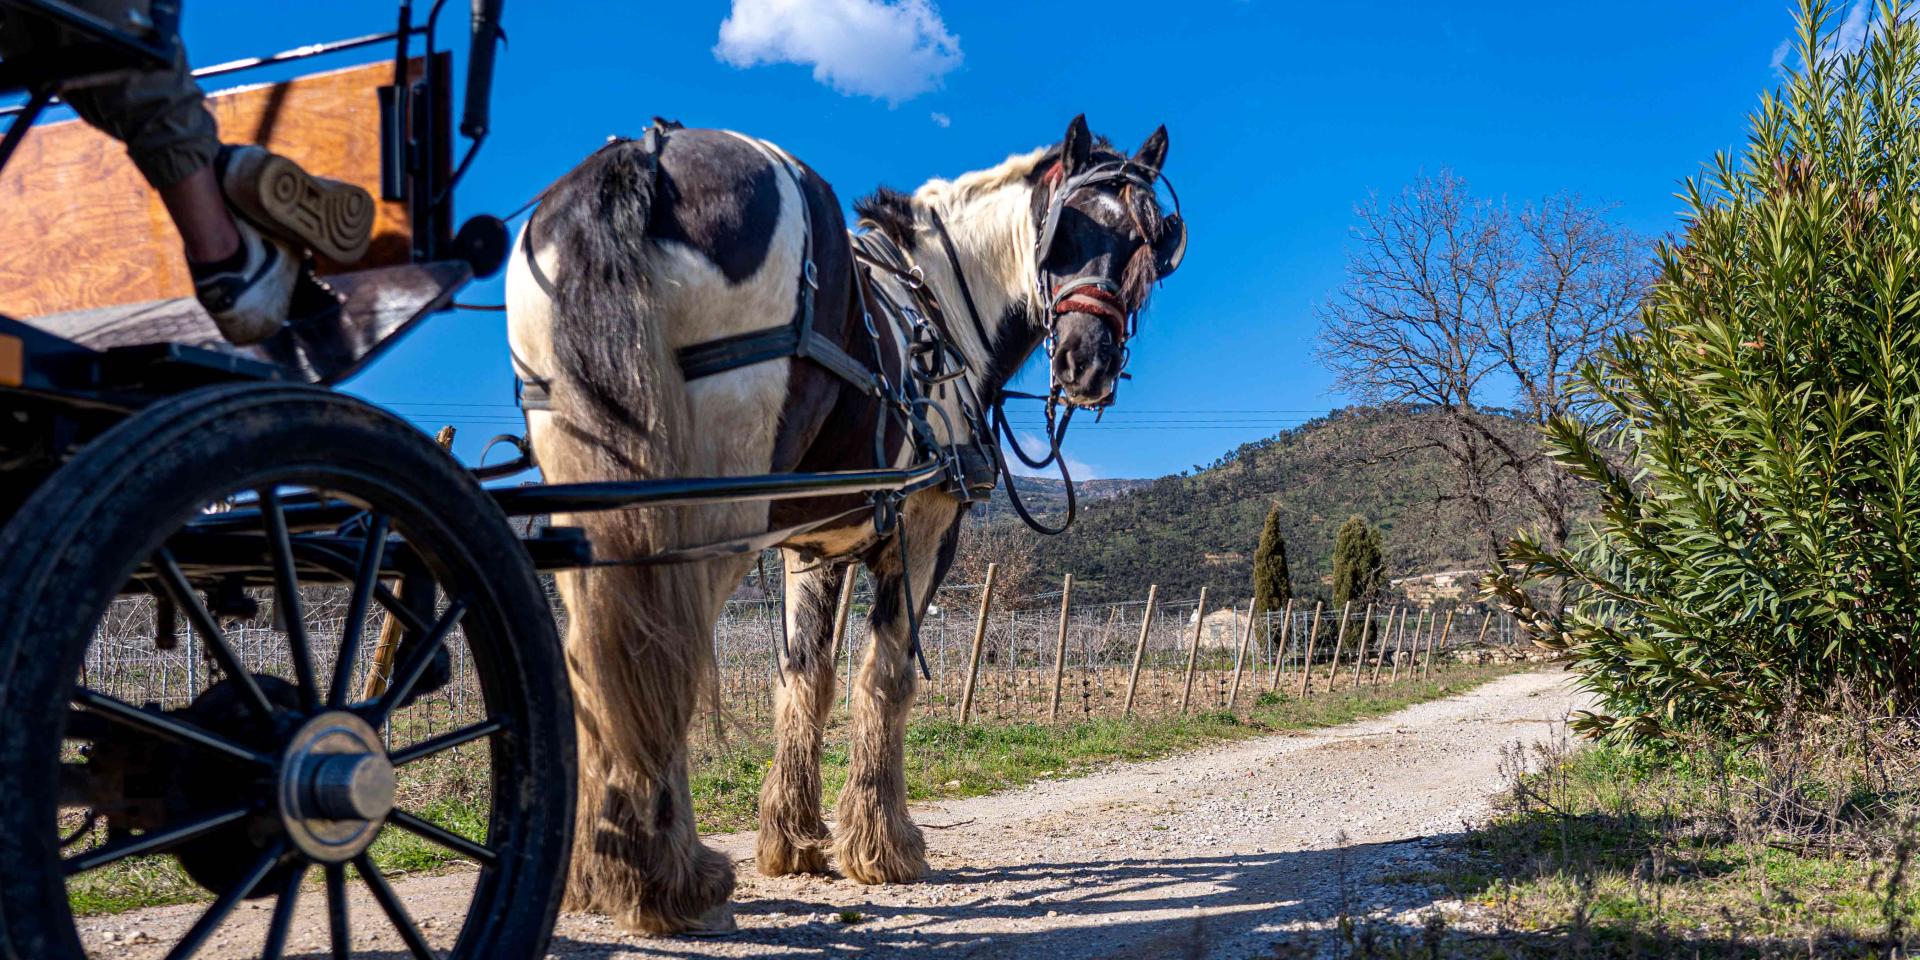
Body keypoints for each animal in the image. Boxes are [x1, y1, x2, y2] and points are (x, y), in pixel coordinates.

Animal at [505, 114, 1185, 934]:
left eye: (1150, 241)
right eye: (1066, 233)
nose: (1088, 364)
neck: (942, 306)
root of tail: (643, 160)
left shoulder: (817, 547)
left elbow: (807, 675)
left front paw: (794, 837)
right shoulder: (923, 527)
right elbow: (886, 675)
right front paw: (882, 844)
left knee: (596, 656)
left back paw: (595, 863)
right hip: (712, 500)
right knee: (662, 647)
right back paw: (668, 875)